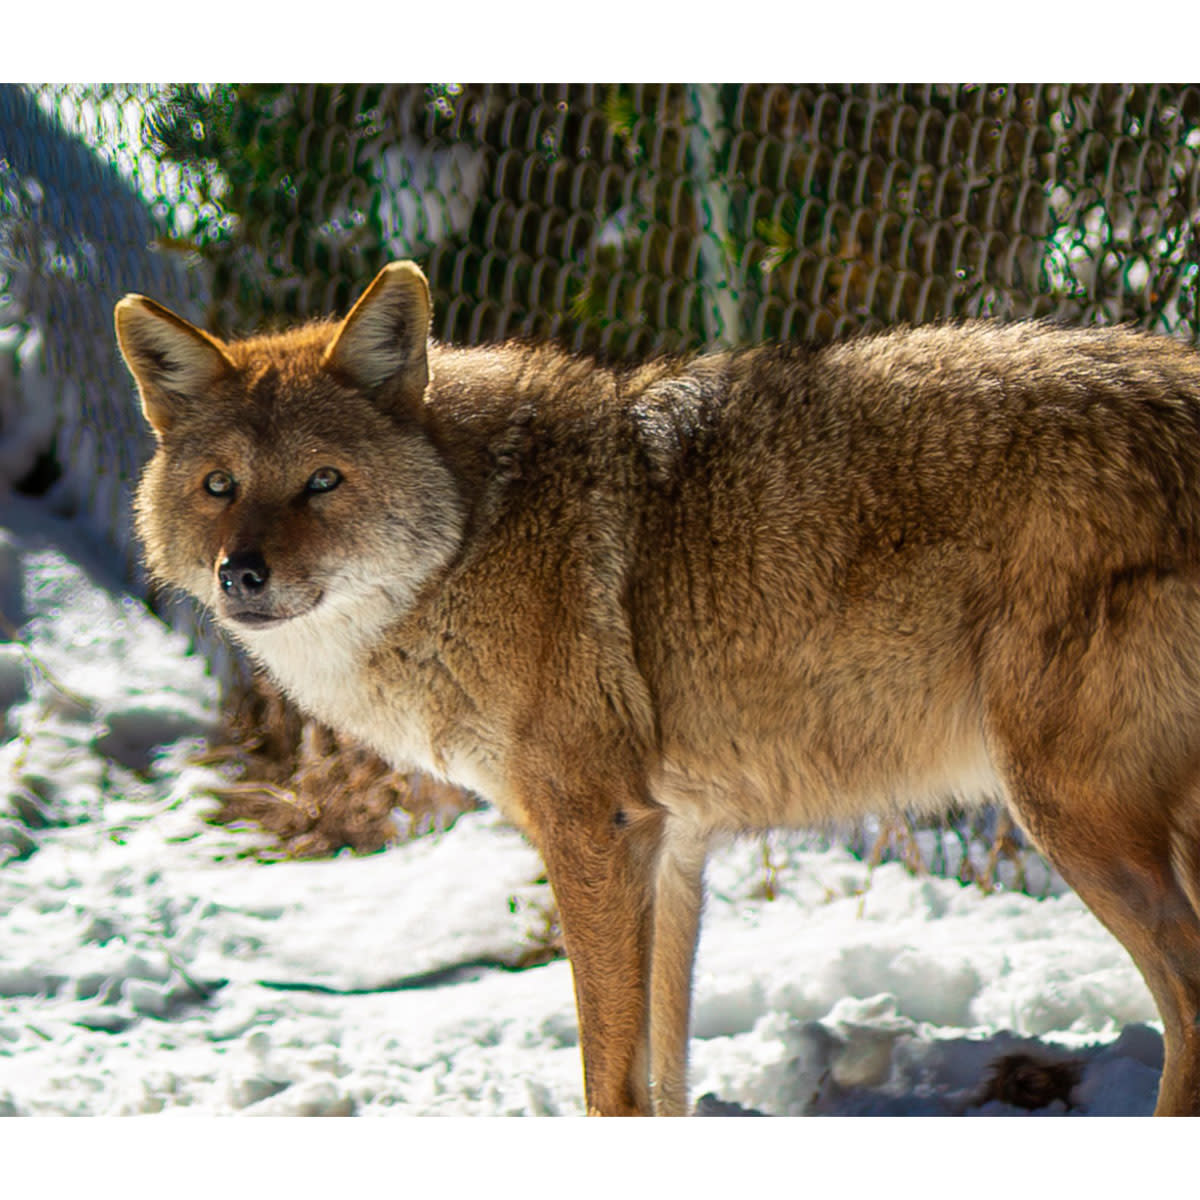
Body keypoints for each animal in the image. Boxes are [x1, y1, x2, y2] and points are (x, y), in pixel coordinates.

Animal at [116, 262, 1200, 1116]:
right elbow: (668, 1079)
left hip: (1067, 813)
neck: (473, 533)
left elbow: (613, 1086)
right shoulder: (669, 851)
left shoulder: (596, 832)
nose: (242, 575)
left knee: (1186, 1004)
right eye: (219, 487)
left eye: (322, 482)